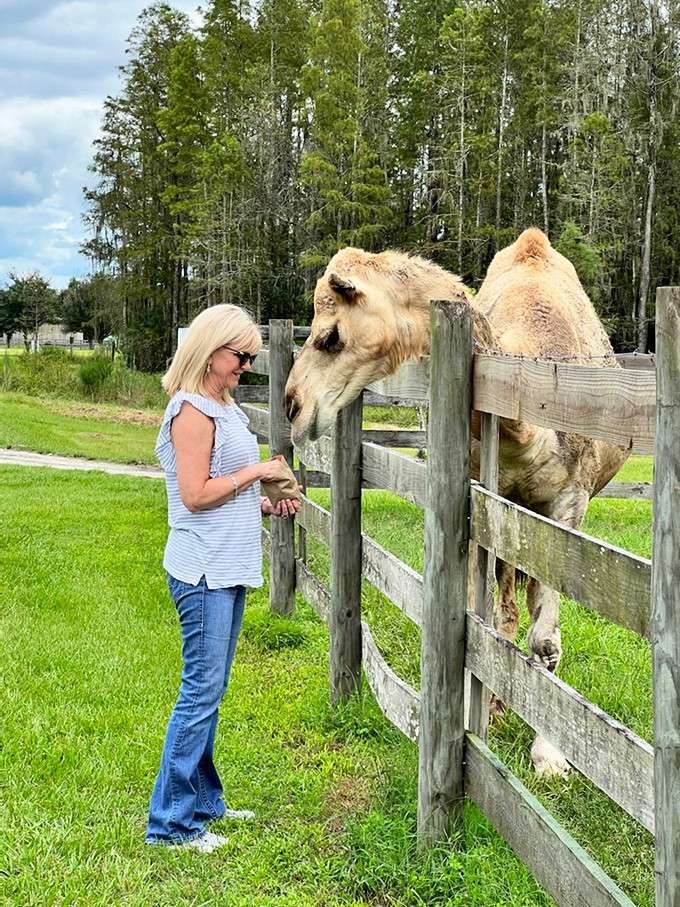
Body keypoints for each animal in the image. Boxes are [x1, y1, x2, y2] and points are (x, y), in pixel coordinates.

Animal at [285, 229, 628, 776]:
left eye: (330, 336)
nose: (294, 406)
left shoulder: (568, 507)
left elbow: (546, 639)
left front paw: (550, 755)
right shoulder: (480, 498)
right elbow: (476, 618)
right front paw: (472, 717)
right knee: (503, 612)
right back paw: (496, 704)